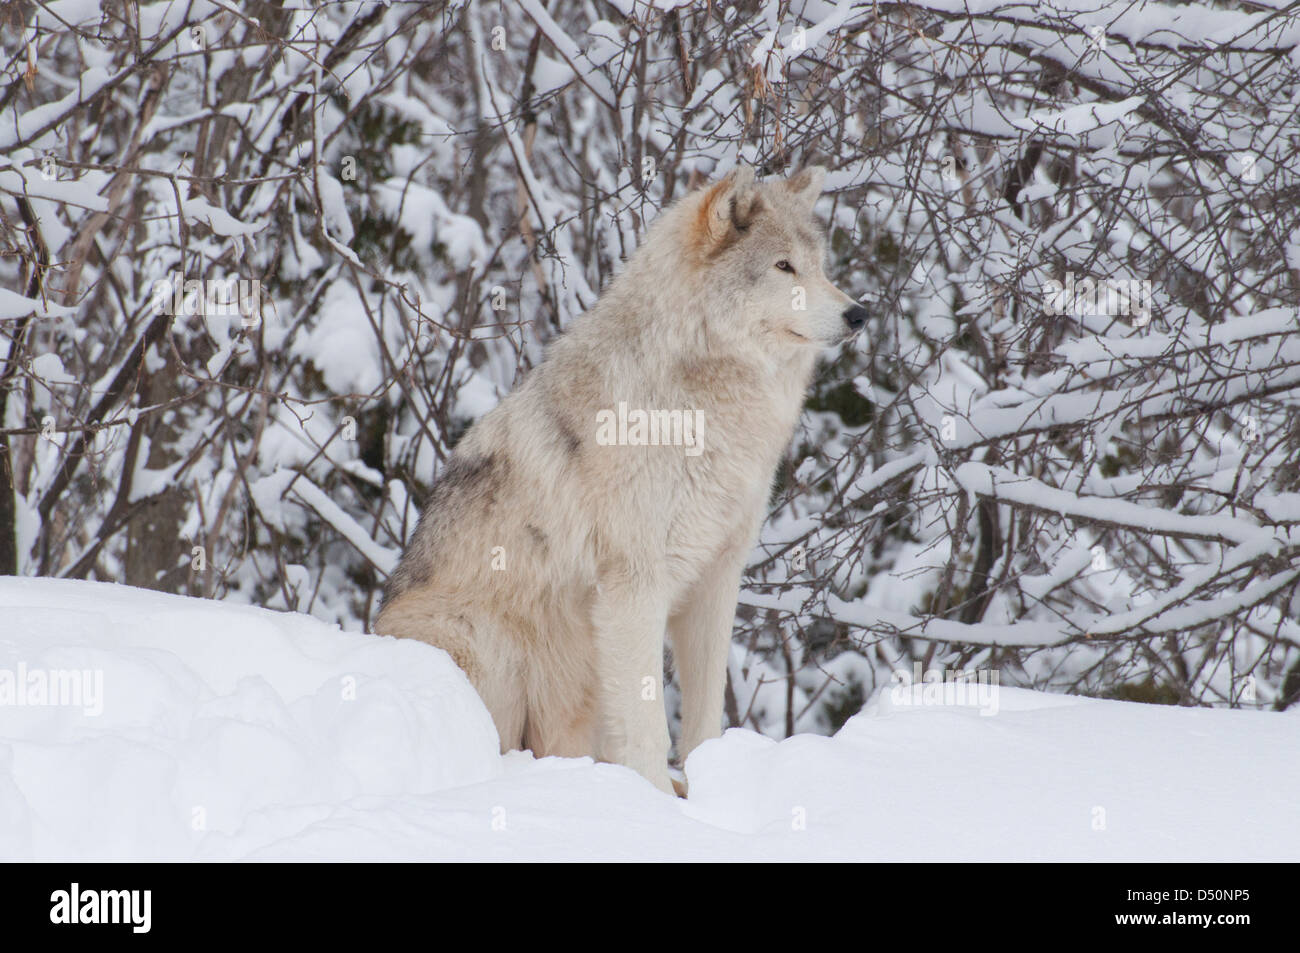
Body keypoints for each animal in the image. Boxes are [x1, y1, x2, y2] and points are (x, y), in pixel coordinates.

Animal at [375, 165, 867, 794]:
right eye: (784, 267)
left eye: (821, 266)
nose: (859, 314)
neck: (701, 406)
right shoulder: (634, 585)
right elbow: (649, 724)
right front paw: (653, 799)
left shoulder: (716, 578)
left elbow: (703, 714)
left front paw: (703, 787)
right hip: (485, 646)